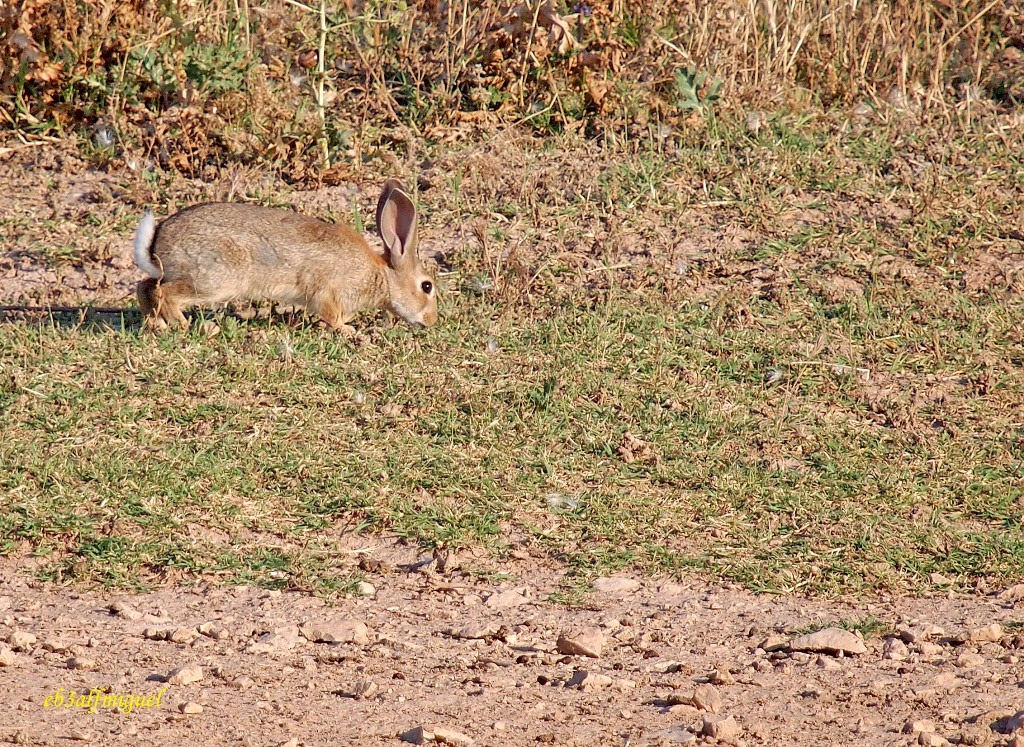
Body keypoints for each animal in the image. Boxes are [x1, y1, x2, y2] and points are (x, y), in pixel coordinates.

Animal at [132, 178, 437, 333]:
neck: (383, 277)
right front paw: (346, 330)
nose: (432, 320)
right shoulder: (329, 291)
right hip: (214, 278)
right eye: (427, 286)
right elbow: (330, 314)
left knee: (145, 286)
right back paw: (182, 324)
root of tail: (158, 242)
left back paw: (156, 324)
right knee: (164, 292)